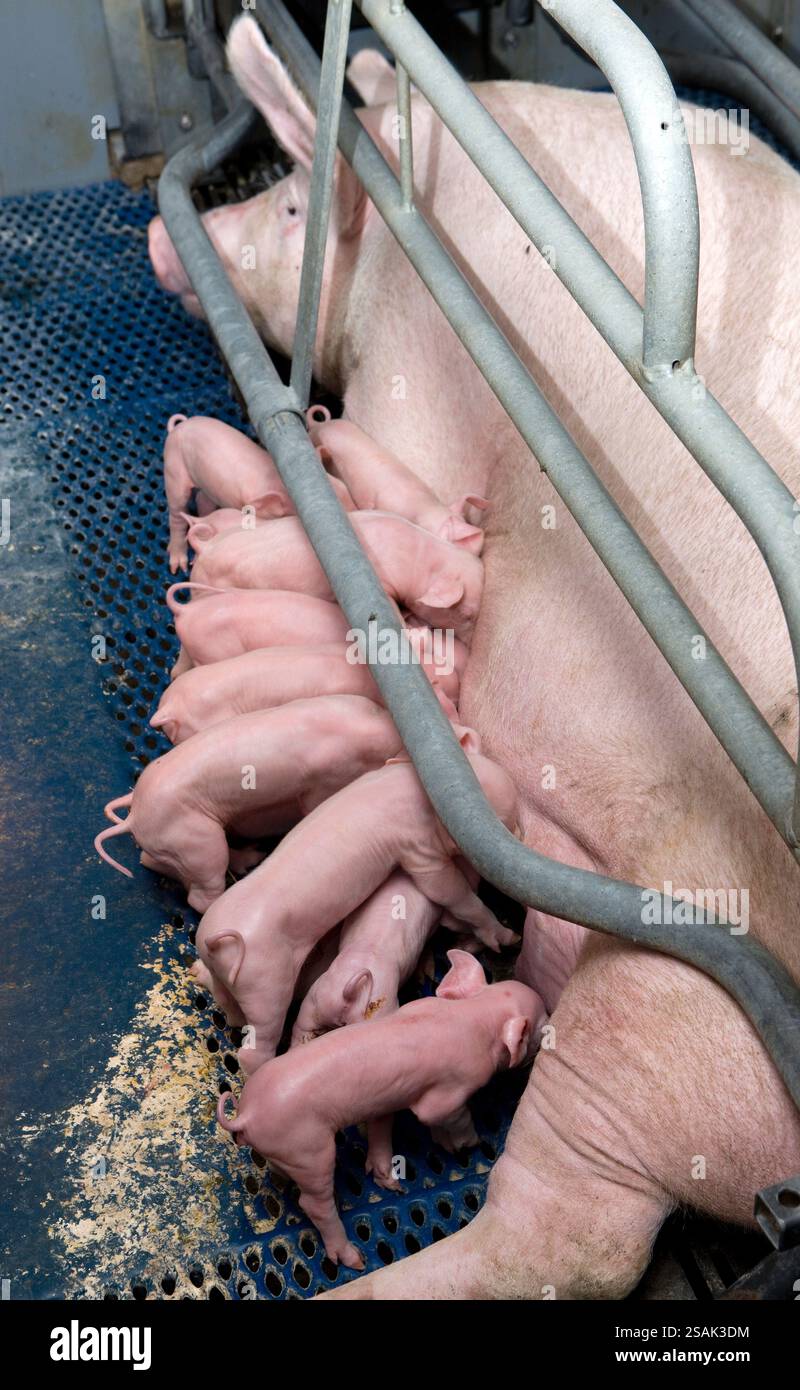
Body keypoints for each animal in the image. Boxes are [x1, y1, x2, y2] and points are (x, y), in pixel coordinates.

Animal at [94, 694, 402, 912]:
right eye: (376, 755)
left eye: (376, 708)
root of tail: (135, 817)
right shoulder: (322, 780)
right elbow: (311, 804)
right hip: (192, 837)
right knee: (200, 892)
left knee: (150, 860)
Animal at [196, 734, 520, 1073]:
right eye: (505, 822)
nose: (517, 828)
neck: (408, 789)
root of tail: (218, 940)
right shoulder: (420, 848)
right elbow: (448, 891)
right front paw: (508, 937)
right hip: (266, 984)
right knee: (258, 1037)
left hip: (223, 969)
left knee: (227, 1003)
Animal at [217, 949, 546, 1268]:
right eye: (543, 1027)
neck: (473, 1018)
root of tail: (246, 1116)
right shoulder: (451, 1091)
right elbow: (445, 1115)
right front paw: (468, 1143)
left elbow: (381, 1124)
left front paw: (393, 1180)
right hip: (308, 1149)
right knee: (312, 1203)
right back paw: (354, 1259)